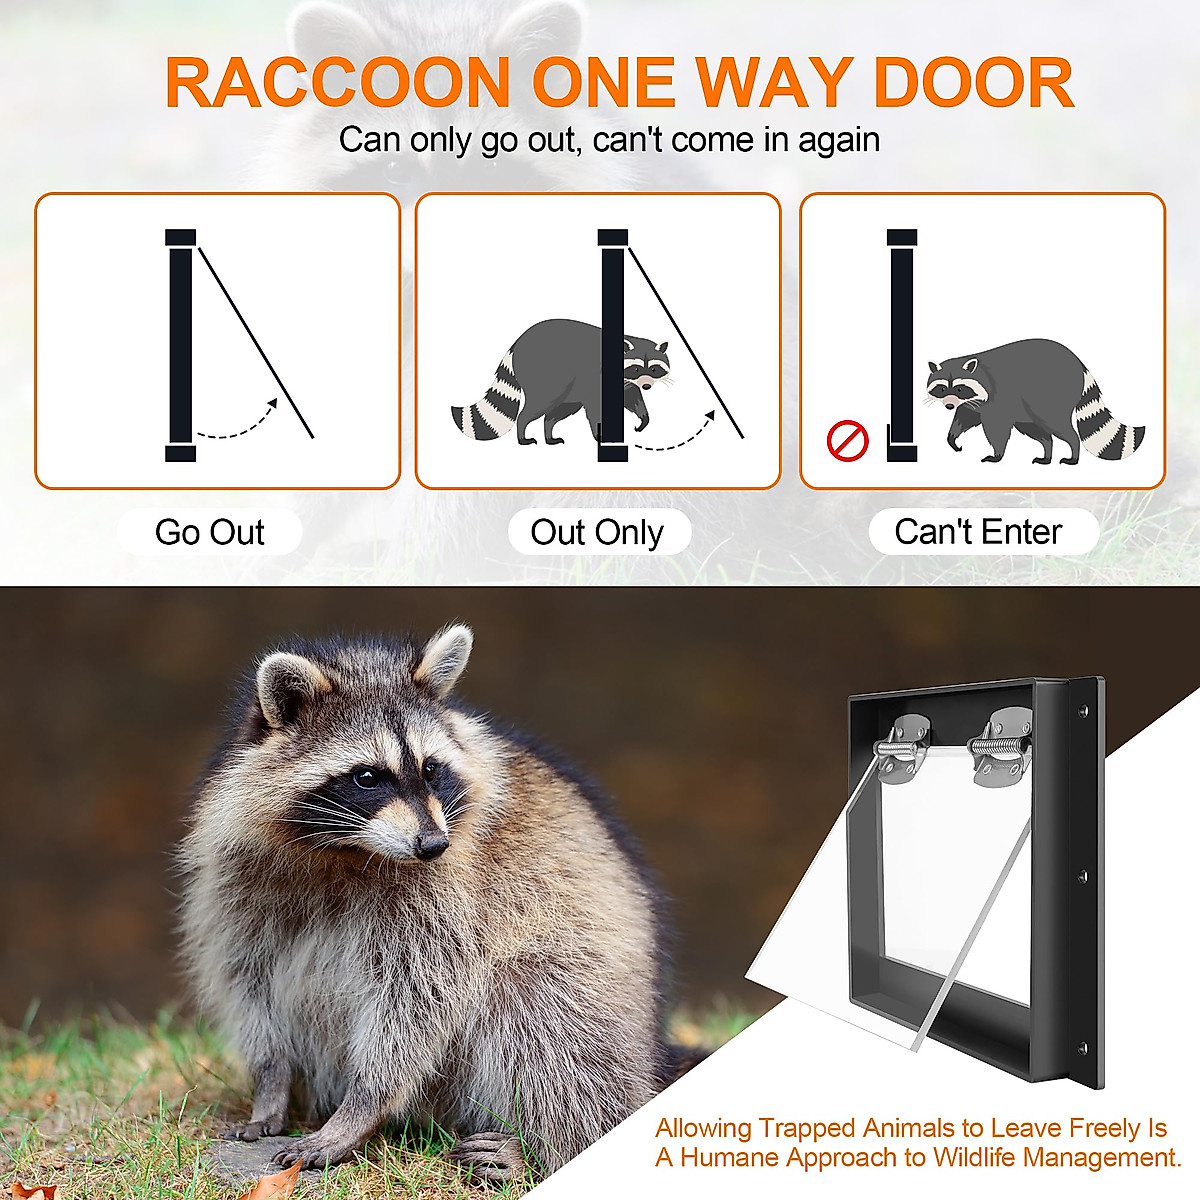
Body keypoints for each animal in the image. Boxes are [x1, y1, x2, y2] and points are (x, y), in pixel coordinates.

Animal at [178, 627, 687, 1181]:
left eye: (430, 768)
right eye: (366, 776)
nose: (433, 844)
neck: (346, 849)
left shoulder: (448, 895)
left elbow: (420, 999)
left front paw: (361, 1107)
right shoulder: (238, 883)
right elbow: (250, 983)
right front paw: (269, 1086)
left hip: (597, 992)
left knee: (541, 1010)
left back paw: (541, 1149)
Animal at [452, 319, 670, 444]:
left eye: (654, 369)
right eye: (636, 368)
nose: (647, 385)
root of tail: (516, 344)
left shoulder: (624, 382)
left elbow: (631, 397)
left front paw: (643, 418)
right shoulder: (595, 376)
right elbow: (595, 407)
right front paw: (600, 433)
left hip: (567, 388)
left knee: (558, 411)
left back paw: (549, 433)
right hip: (545, 376)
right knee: (537, 407)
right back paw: (523, 433)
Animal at [927, 339, 1145, 465]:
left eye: (959, 388)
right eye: (942, 389)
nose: (949, 405)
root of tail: (1080, 365)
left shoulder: (998, 398)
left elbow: (996, 428)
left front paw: (997, 454)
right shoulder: (974, 402)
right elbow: (965, 417)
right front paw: (952, 438)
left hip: (1051, 395)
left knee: (1057, 425)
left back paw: (1073, 452)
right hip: (1029, 407)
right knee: (1037, 430)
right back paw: (1047, 453)